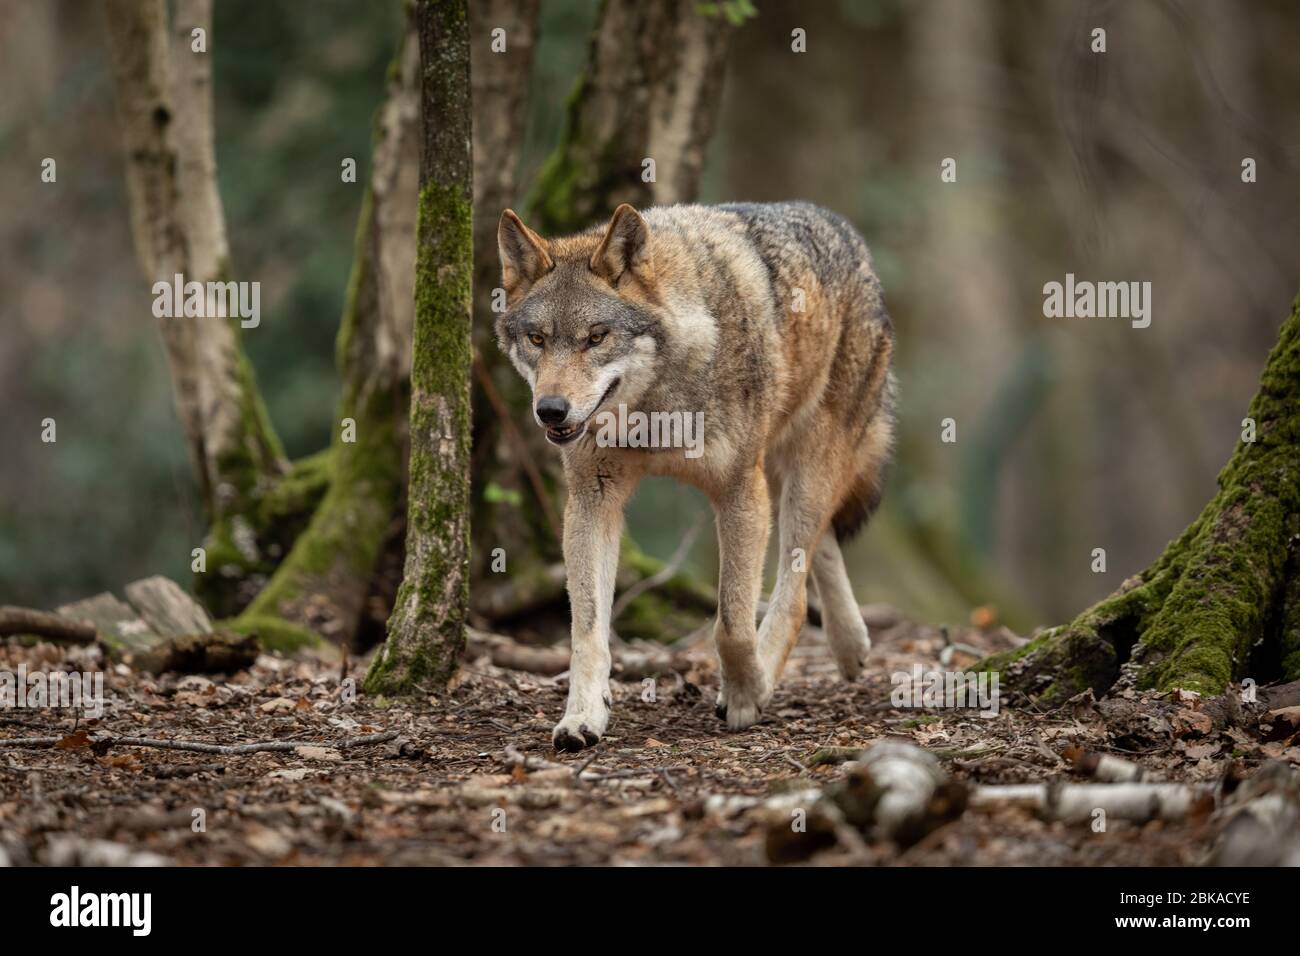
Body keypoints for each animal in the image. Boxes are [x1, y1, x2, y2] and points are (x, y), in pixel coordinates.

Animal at [496, 201, 896, 751]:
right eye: (538, 339)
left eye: (597, 337)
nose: (551, 411)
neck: (656, 414)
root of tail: (840, 227)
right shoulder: (592, 499)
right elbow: (587, 631)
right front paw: (582, 717)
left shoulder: (739, 490)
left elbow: (731, 622)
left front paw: (748, 693)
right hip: (779, 470)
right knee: (821, 545)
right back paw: (852, 646)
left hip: (808, 461)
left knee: (796, 589)